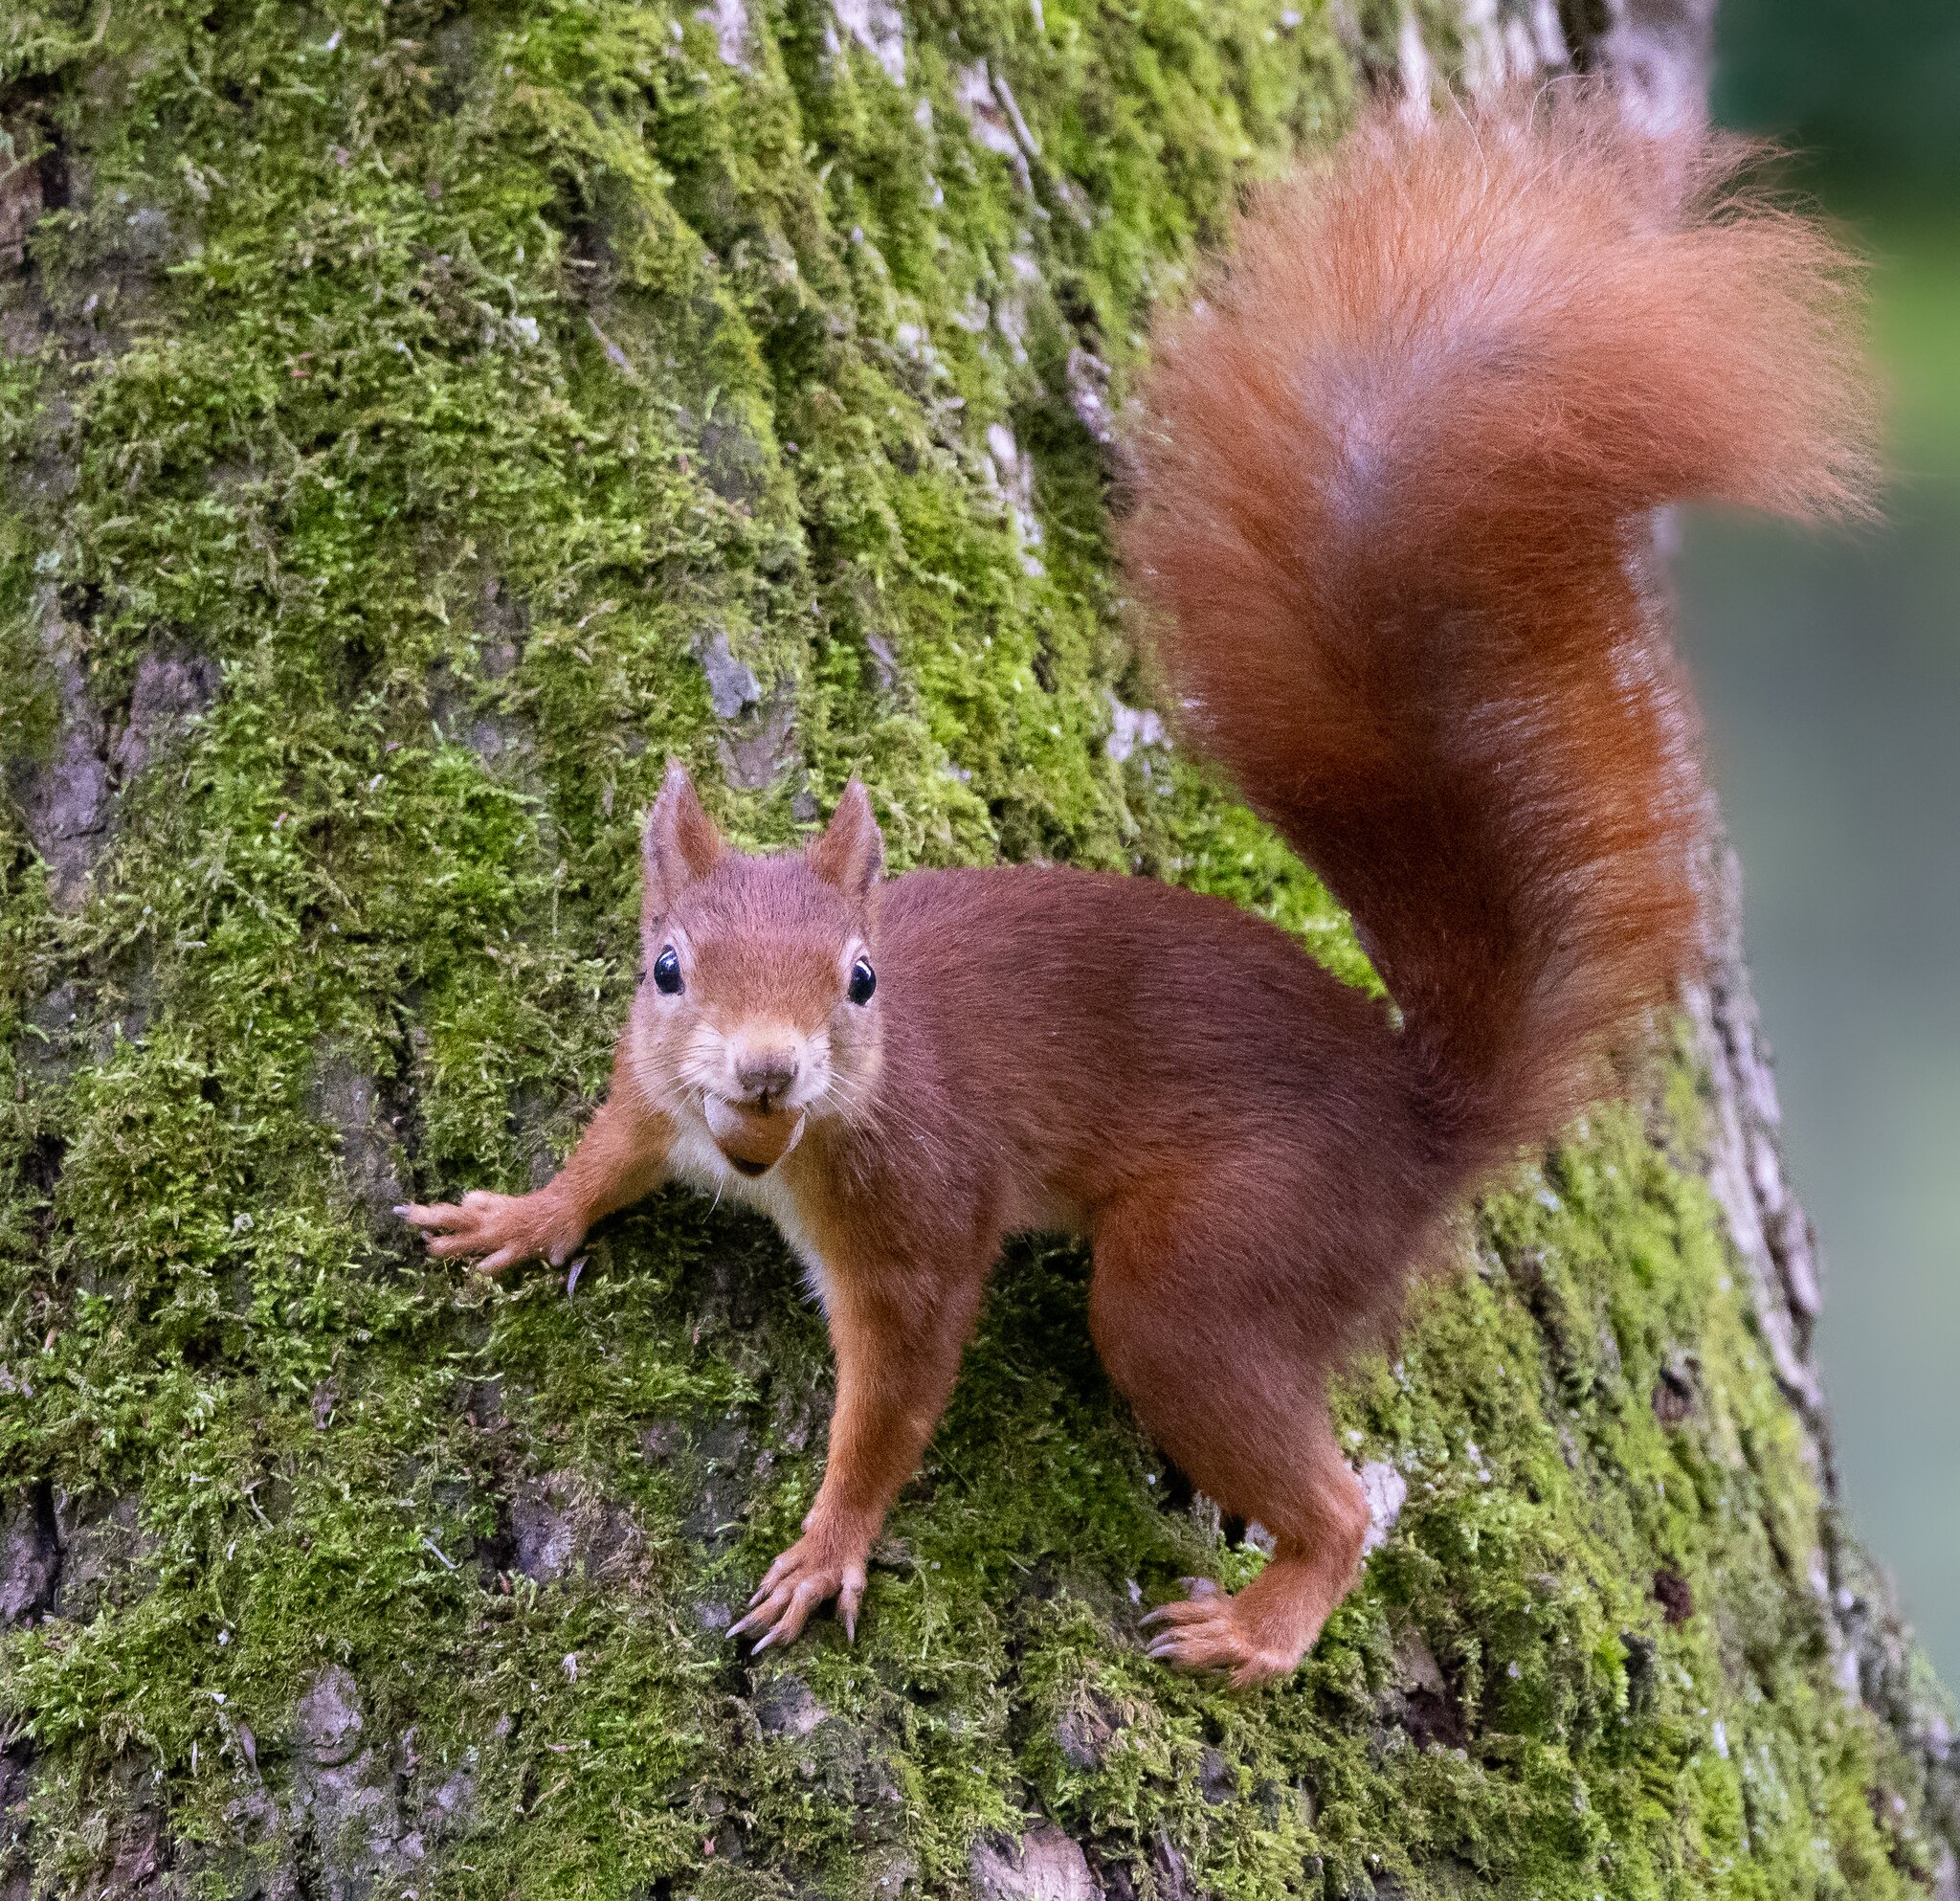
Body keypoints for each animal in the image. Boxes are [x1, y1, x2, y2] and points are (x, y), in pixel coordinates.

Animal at [401, 87, 1871, 1686]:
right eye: (665, 966)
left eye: (861, 979)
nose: (769, 1069)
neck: (771, 1151)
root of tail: (1419, 1121)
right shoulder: (652, 1086)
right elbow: (609, 1146)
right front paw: (520, 1215)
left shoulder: (920, 1217)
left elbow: (898, 1396)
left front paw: (830, 1545)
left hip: (1207, 1271)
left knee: (1334, 1496)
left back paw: (1263, 1623)